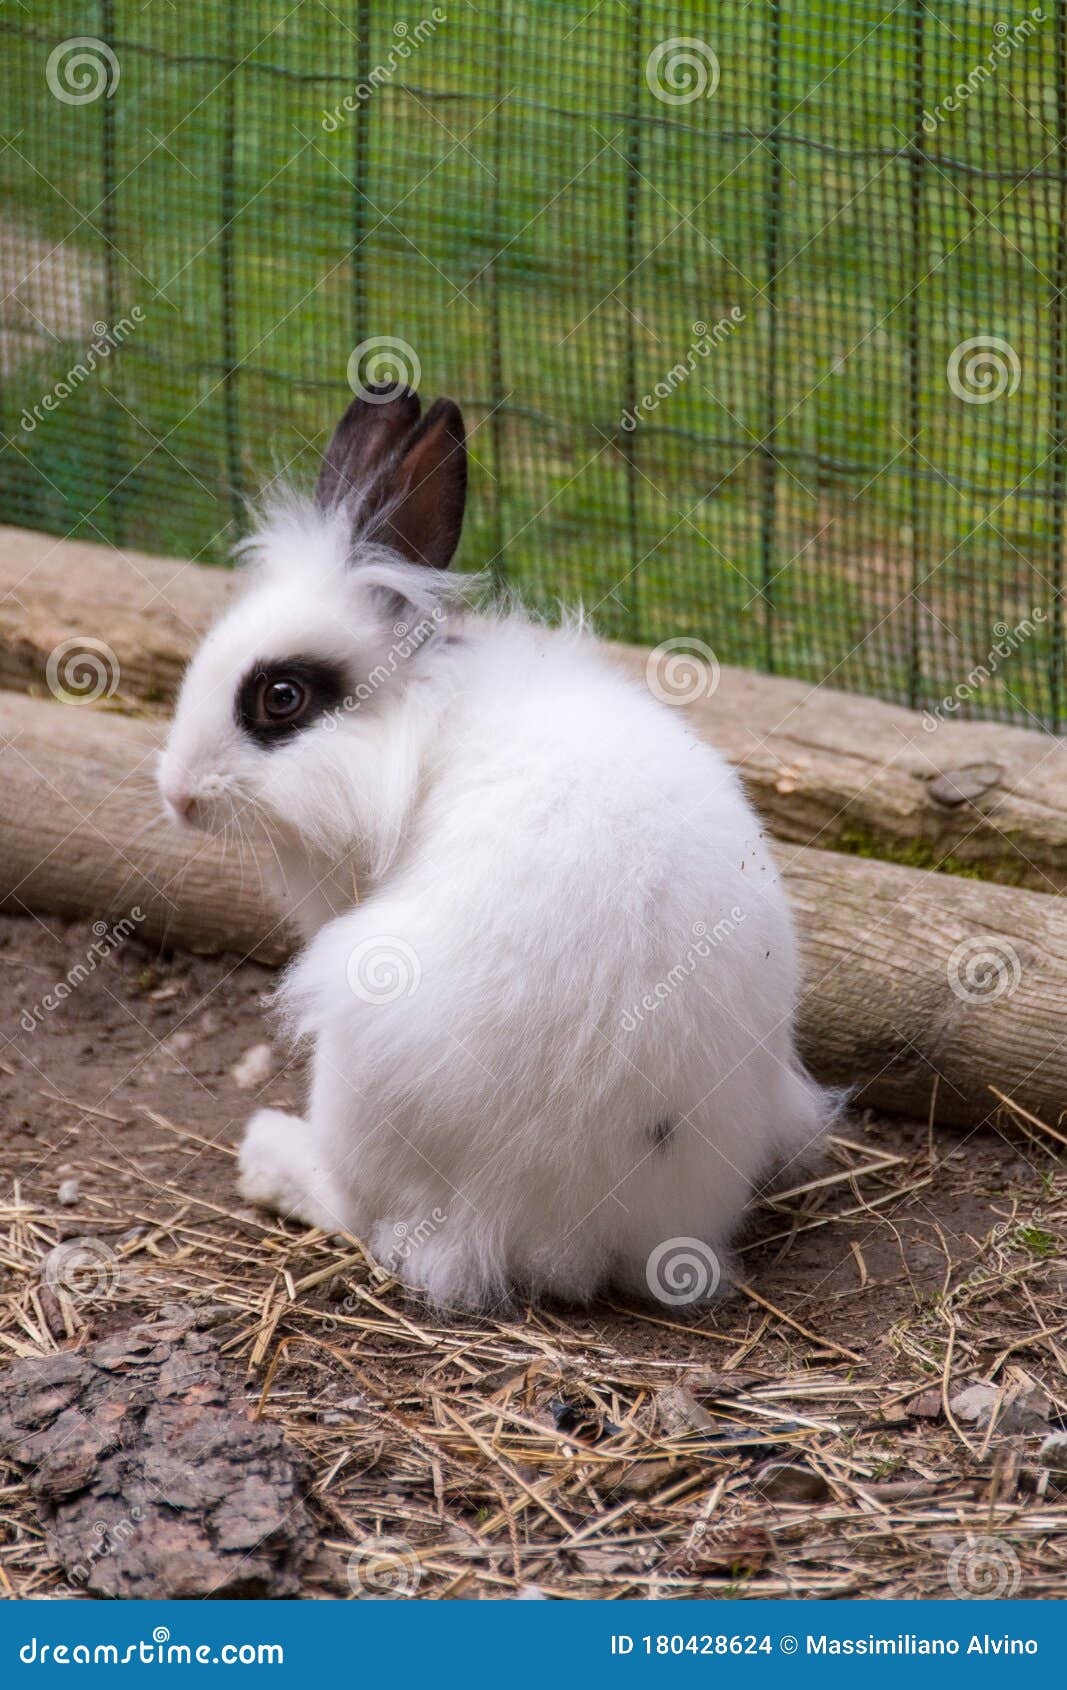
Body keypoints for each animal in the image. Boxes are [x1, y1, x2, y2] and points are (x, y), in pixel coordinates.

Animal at [158, 384, 833, 1311]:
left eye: (281, 697)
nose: (177, 794)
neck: (420, 717)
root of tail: (591, 1232)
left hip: (356, 1053)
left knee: (370, 1215)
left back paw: (269, 1158)